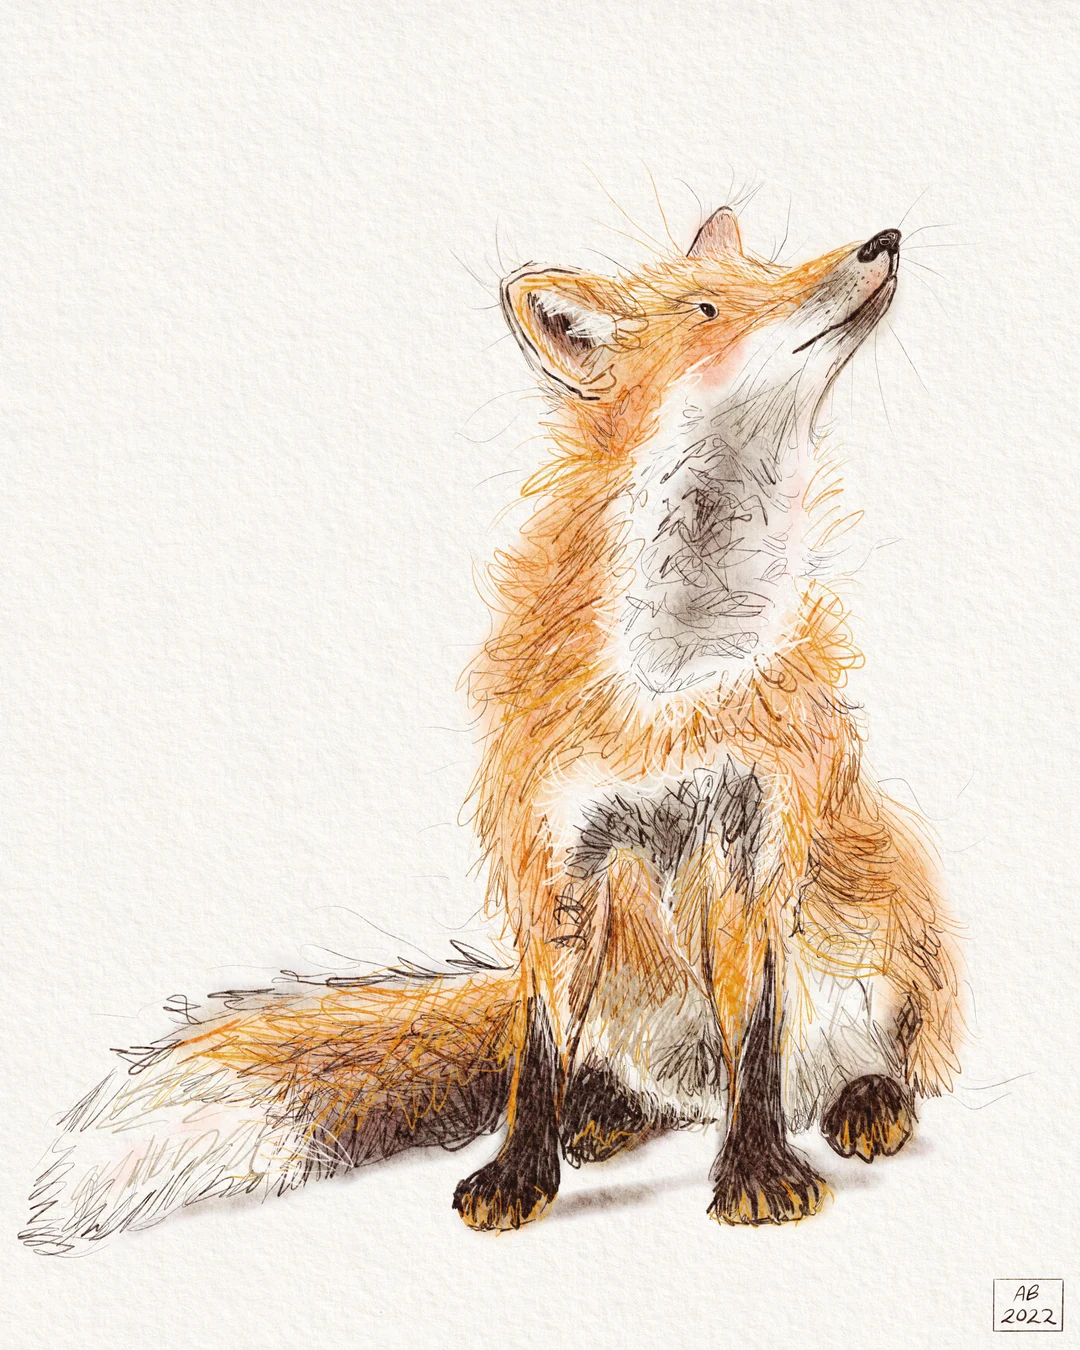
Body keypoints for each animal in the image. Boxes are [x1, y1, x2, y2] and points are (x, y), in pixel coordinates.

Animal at [22, 202, 962, 1253]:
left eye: (768, 270)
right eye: (712, 307)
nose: (881, 242)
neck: (675, 678)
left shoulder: (756, 835)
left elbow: (754, 1035)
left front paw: (756, 1173)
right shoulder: (555, 850)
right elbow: (538, 1049)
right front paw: (519, 1175)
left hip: (885, 939)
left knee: (859, 1066)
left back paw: (865, 1104)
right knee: (643, 1083)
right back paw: (606, 1118)